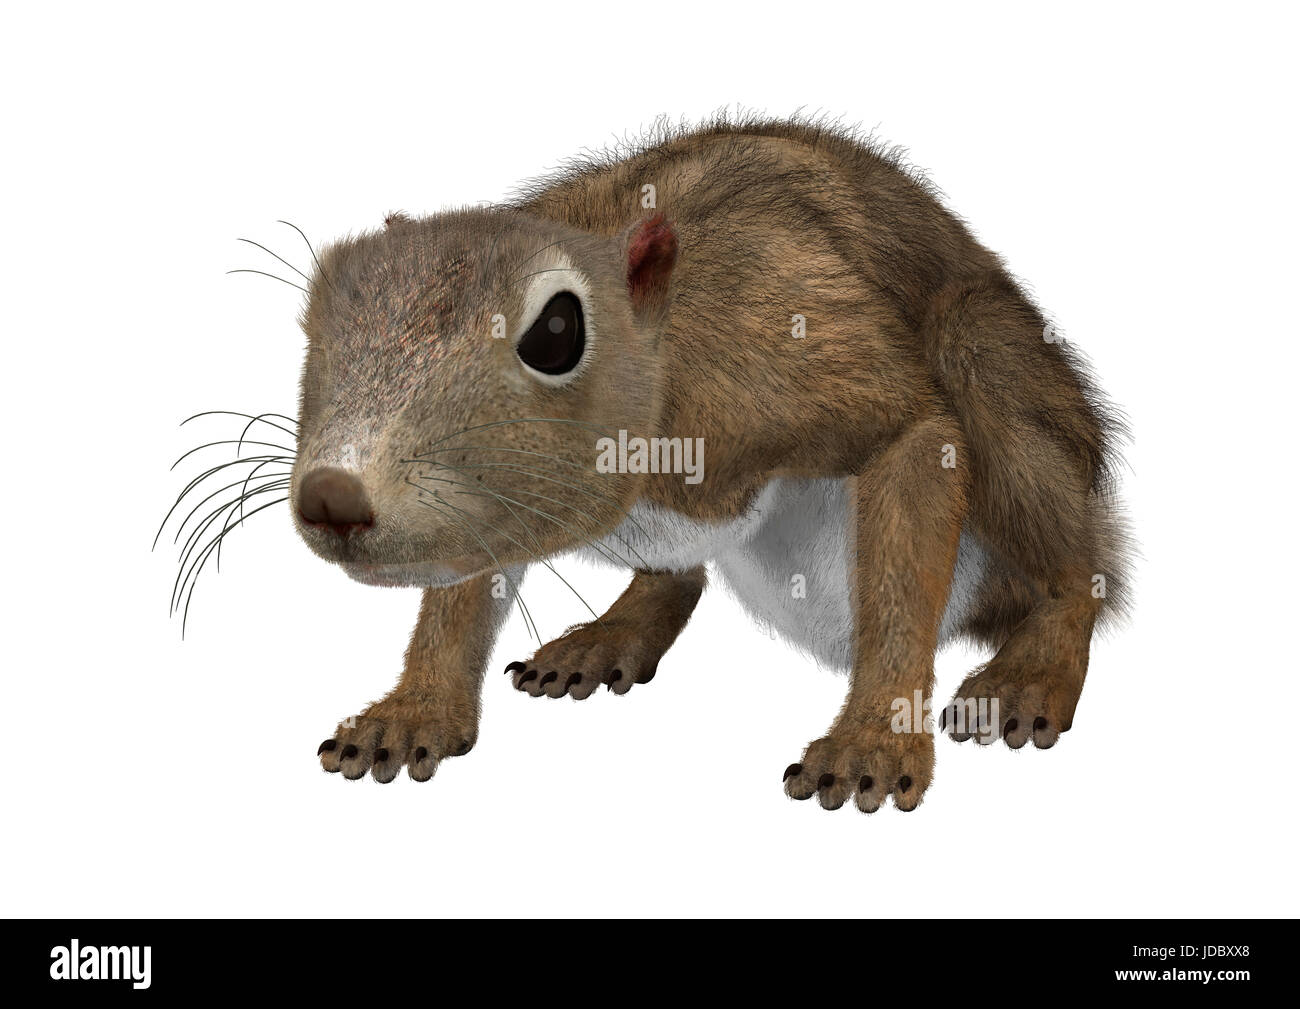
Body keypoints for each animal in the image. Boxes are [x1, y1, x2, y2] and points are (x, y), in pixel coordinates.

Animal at [232, 116, 1129, 812]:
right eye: (317, 317)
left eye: (556, 331)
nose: (333, 495)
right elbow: (460, 592)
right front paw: (412, 710)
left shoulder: (790, 343)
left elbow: (911, 455)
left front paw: (873, 739)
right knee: (680, 575)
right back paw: (609, 635)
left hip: (997, 380)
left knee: (1078, 573)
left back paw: (1033, 670)